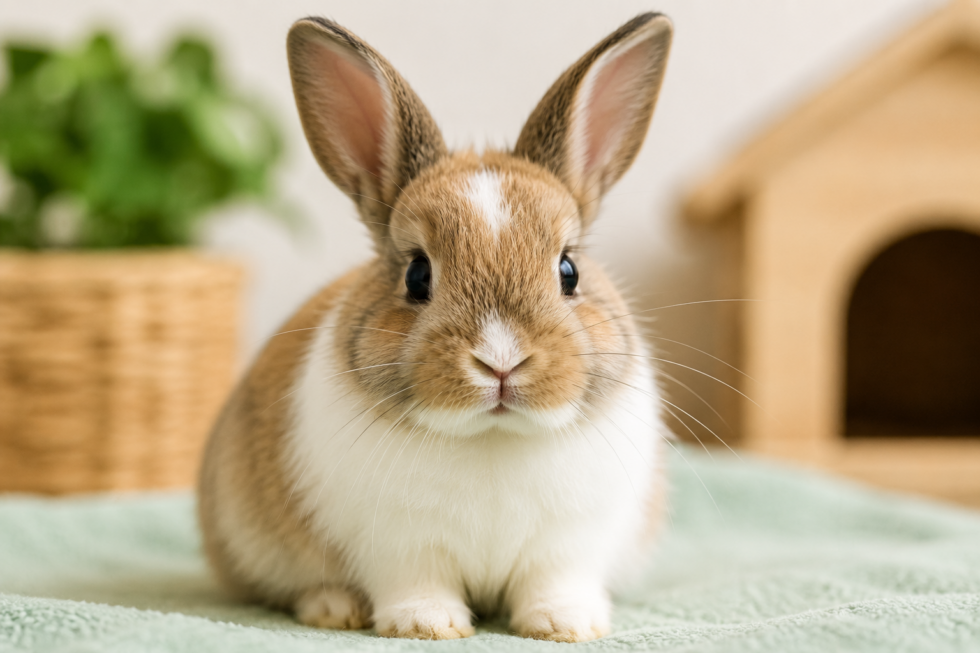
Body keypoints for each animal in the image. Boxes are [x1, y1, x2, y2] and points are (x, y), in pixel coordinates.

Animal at [198, 11, 673, 643]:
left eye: (569, 270)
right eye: (417, 275)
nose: (501, 360)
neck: (492, 437)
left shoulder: (568, 546)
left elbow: (553, 581)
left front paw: (564, 625)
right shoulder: (400, 547)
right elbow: (416, 582)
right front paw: (427, 625)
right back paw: (333, 608)